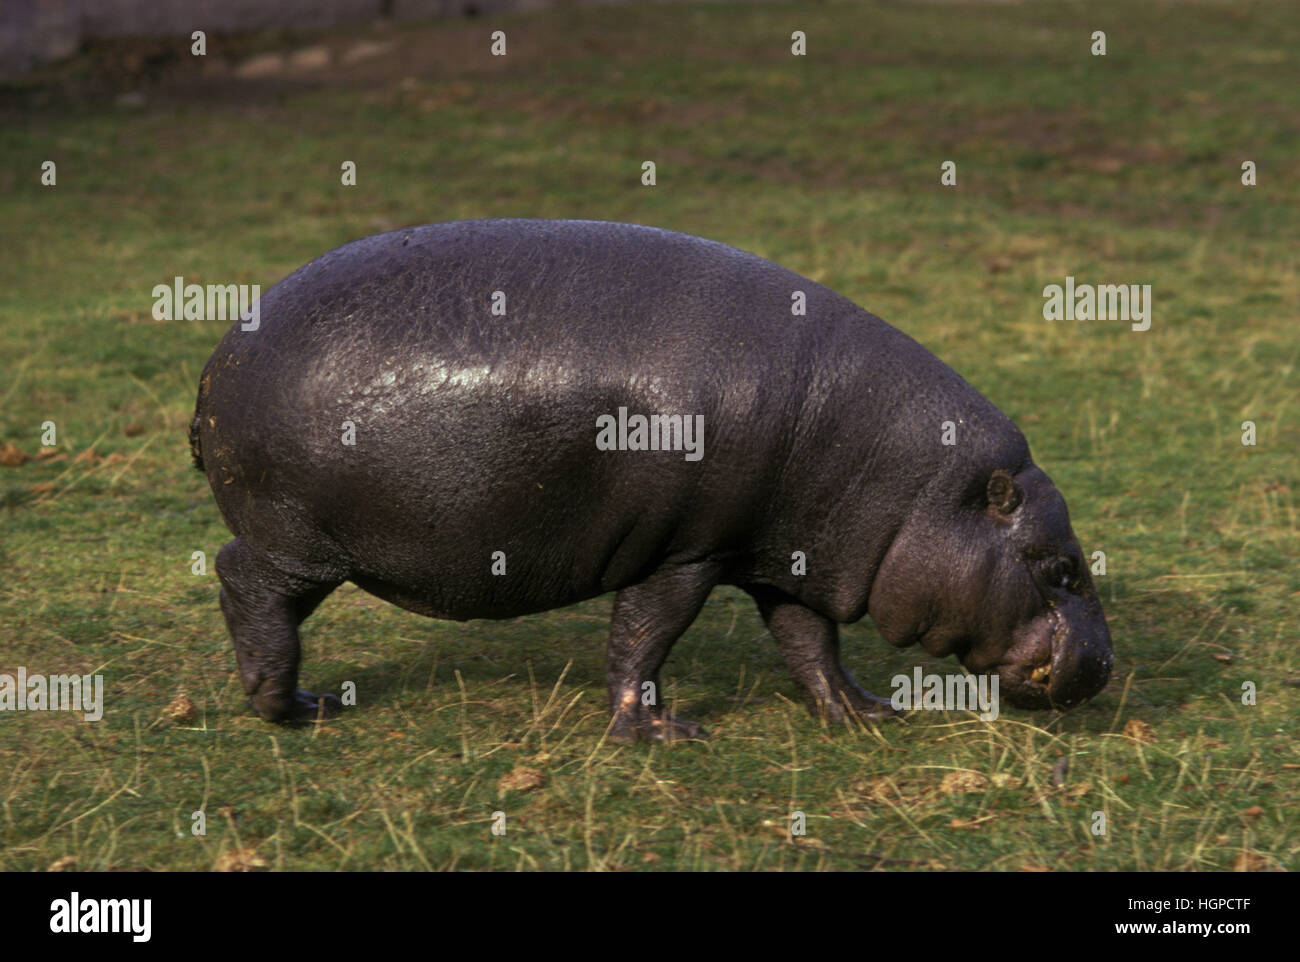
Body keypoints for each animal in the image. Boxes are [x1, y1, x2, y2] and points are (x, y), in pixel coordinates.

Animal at [190, 219, 1113, 741]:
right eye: (1063, 567)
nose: (1104, 665)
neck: (915, 483)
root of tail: (211, 367)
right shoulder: (688, 551)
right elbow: (643, 637)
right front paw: (661, 734)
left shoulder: (790, 558)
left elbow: (810, 644)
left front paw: (865, 716)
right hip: (299, 539)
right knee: (245, 583)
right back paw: (293, 706)